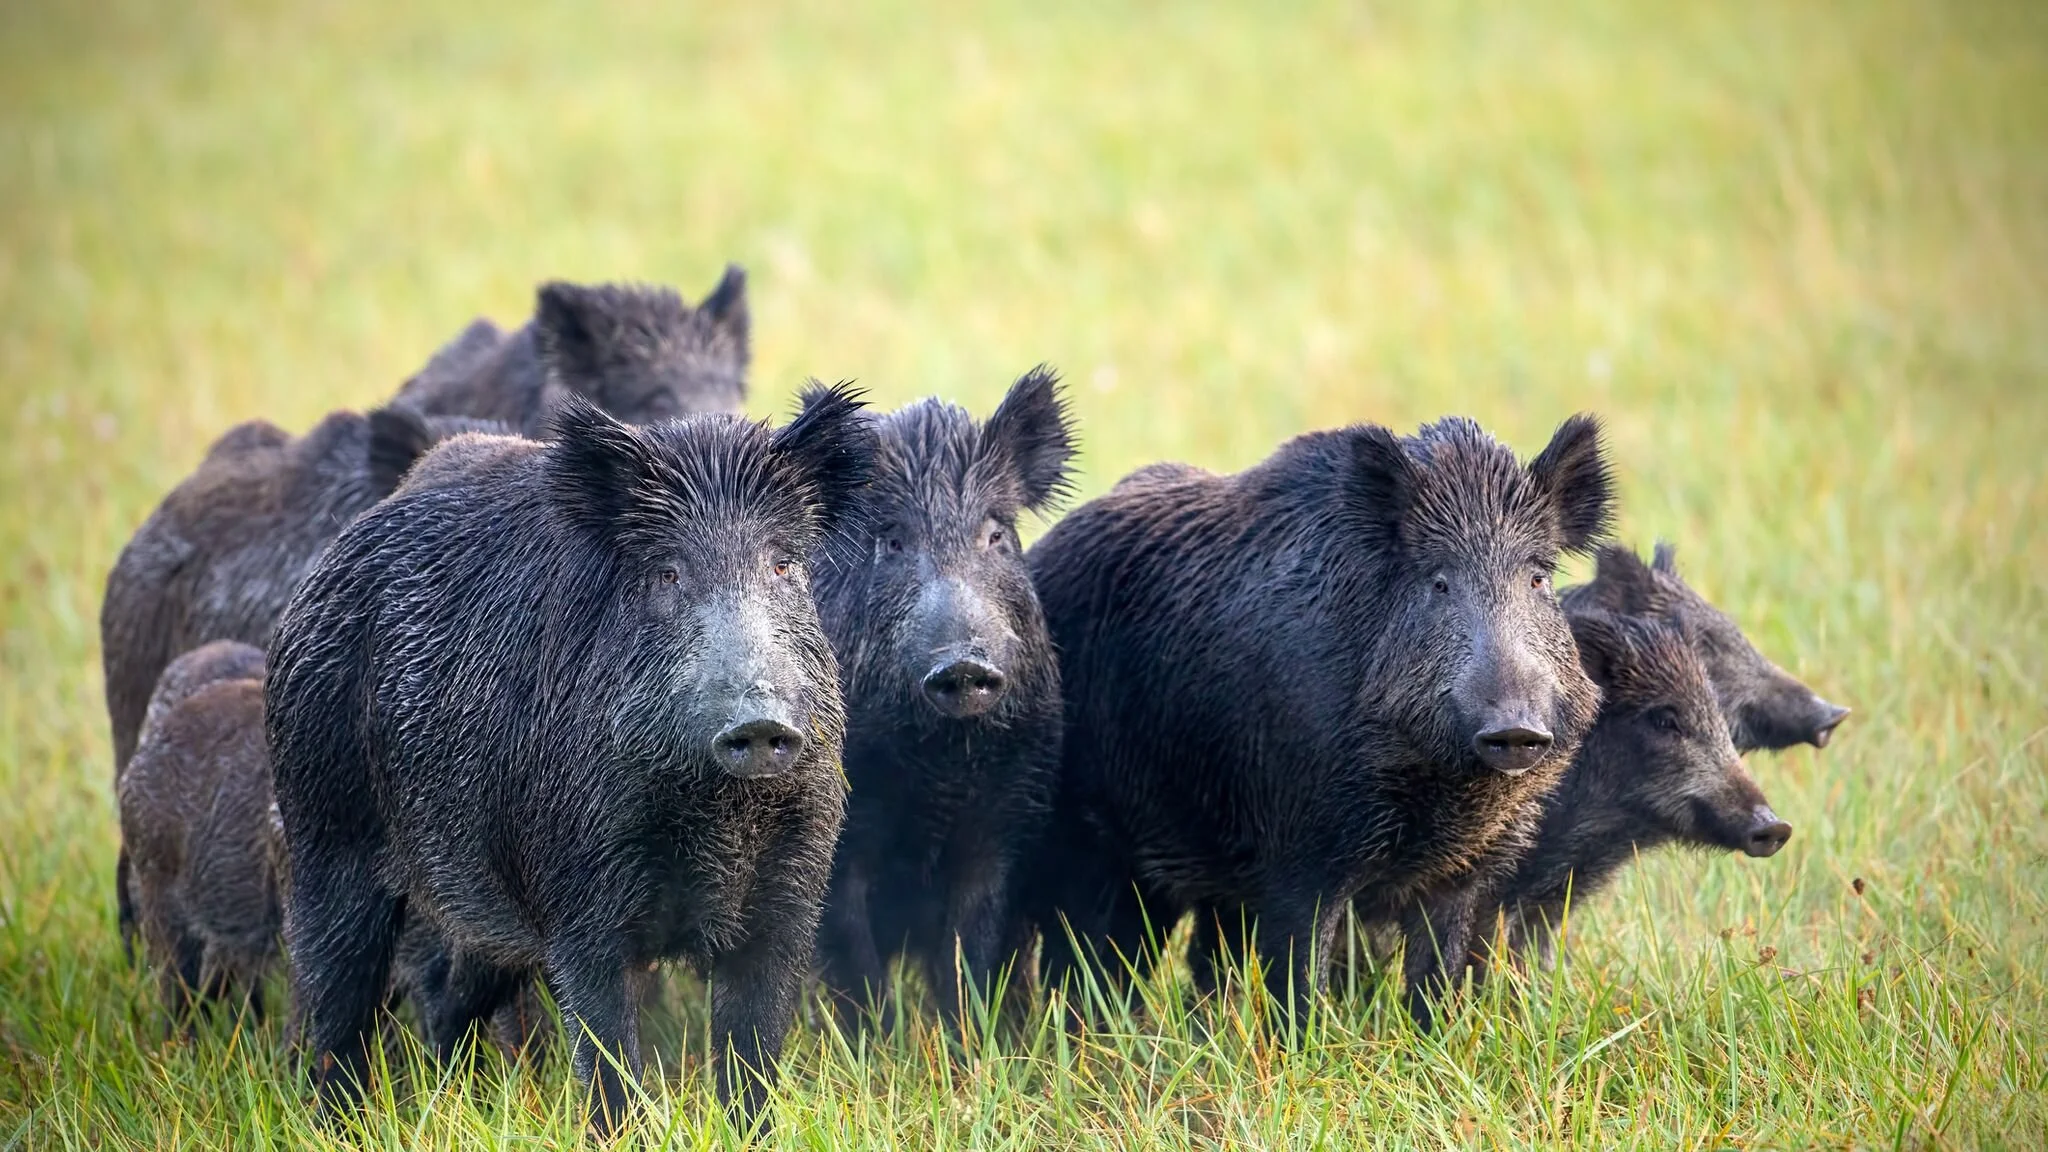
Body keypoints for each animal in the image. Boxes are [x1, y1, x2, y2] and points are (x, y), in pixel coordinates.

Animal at [265, 386, 875, 1136]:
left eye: (784, 565)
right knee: (335, 1000)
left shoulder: (788, 897)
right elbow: (610, 1058)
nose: (760, 722)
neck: (716, 814)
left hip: (474, 902)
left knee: (448, 997)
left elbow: (752, 1056)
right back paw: (338, 1122)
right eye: (666, 573)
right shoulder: (580, 901)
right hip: (325, 831)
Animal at [811, 367, 1077, 1028]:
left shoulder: (1008, 820)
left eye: (997, 533)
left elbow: (972, 951)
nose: (964, 664)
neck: (943, 766)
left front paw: (973, 1042)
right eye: (892, 541)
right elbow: (855, 960)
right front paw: (879, 1045)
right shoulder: (841, 839)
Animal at [1020, 414, 1614, 1028]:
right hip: (1088, 842)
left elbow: (1436, 981)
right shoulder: (1300, 853)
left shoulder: (1464, 871)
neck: (1439, 787)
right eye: (1438, 581)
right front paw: (1304, 1044)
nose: (1515, 728)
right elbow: (1301, 979)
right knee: (1088, 959)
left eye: (1538, 579)